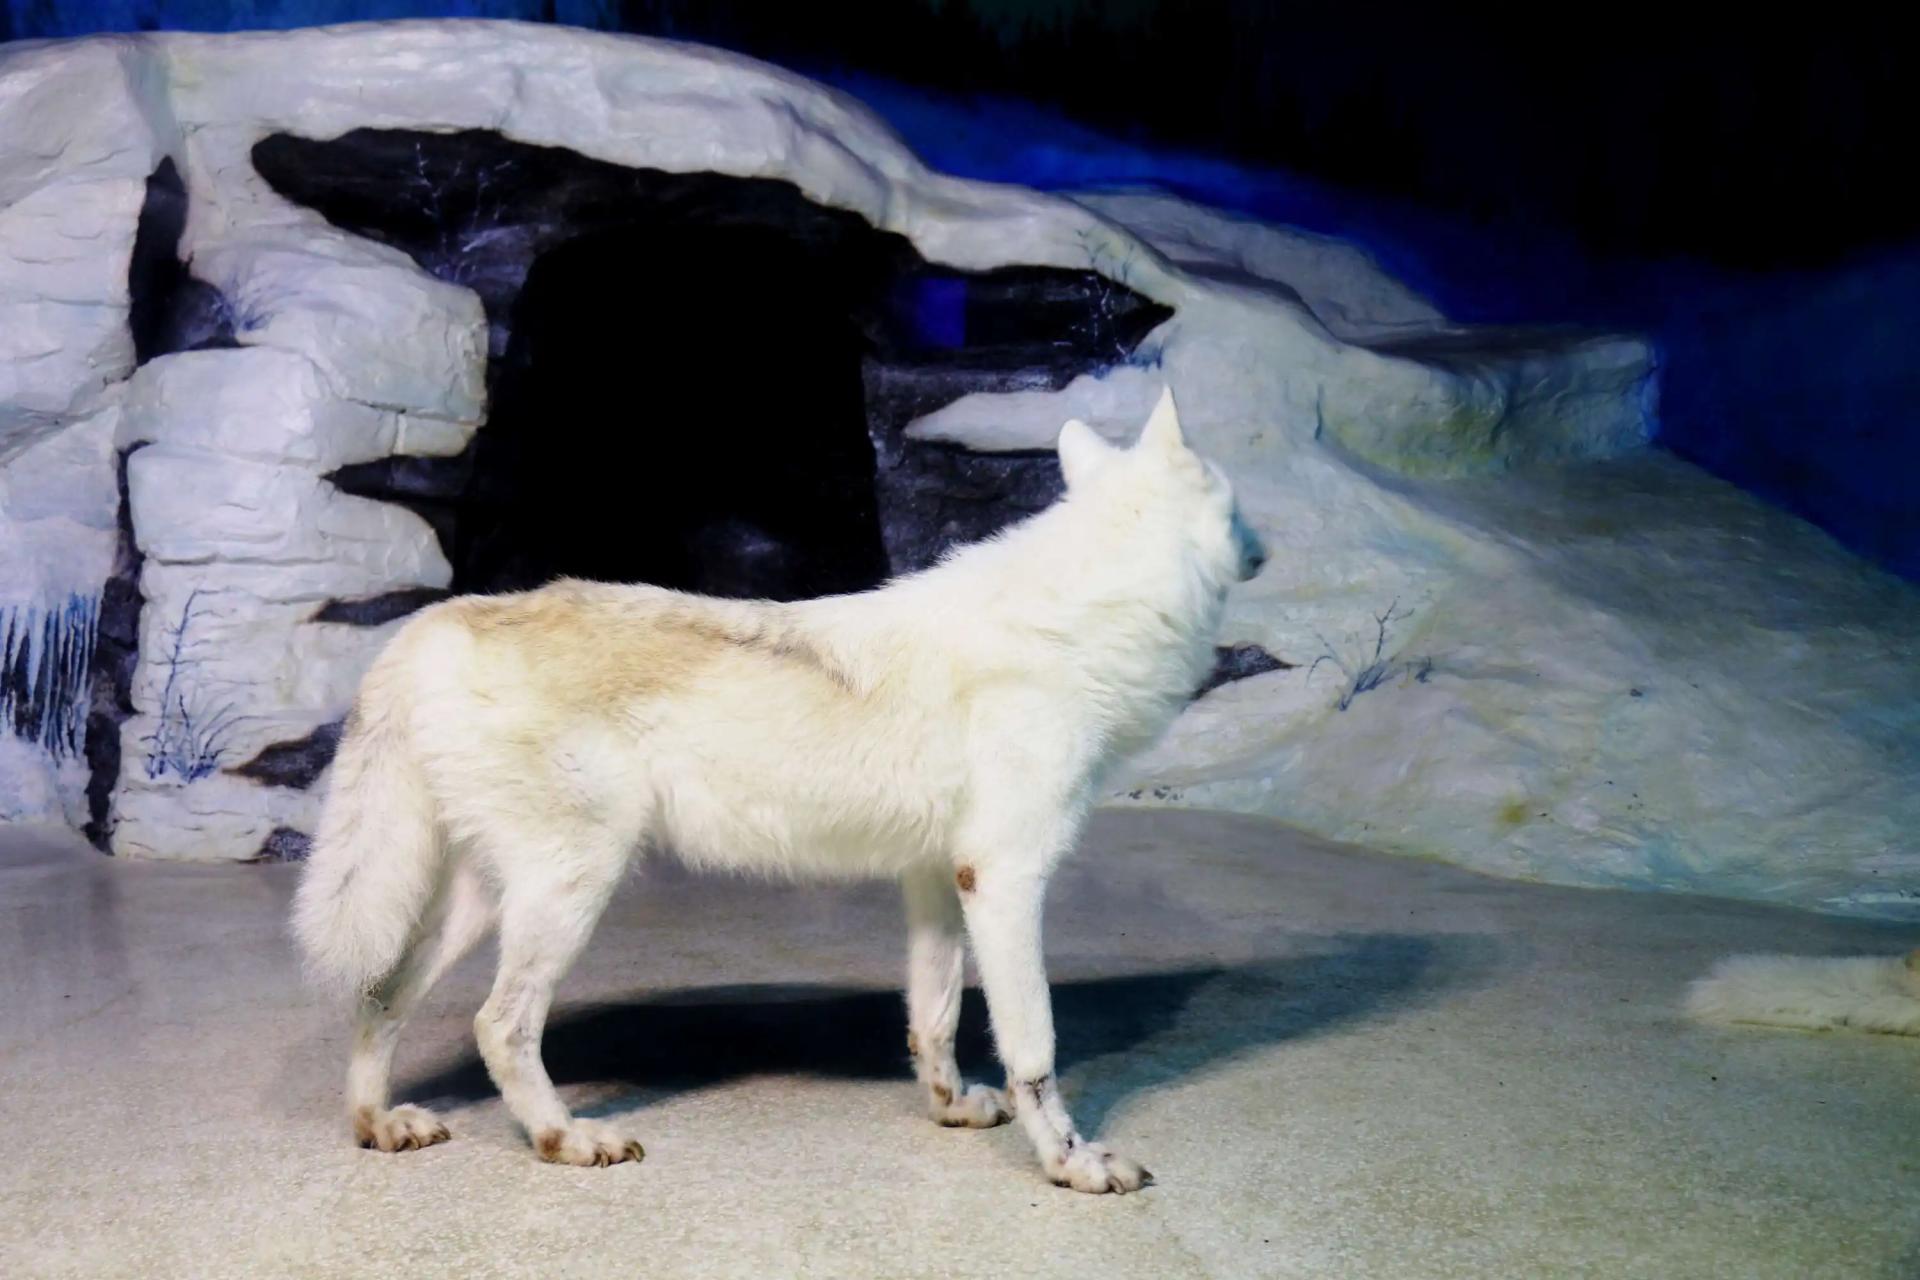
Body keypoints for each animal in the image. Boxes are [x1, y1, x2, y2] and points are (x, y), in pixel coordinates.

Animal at [291, 386, 1267, 1193]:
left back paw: (379, 1123)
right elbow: (1035, 1048)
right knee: (498, 1024)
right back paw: (566, 1139)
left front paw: (951, 1109)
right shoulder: (1006, 878)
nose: (1267, 548)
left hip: (478, 906)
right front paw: (1073, 1165)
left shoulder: (937, 880)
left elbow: (934, 1018)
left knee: (380, 997)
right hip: (569, 891)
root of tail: (434, 623)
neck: (1081, 625)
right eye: (1239, 505)